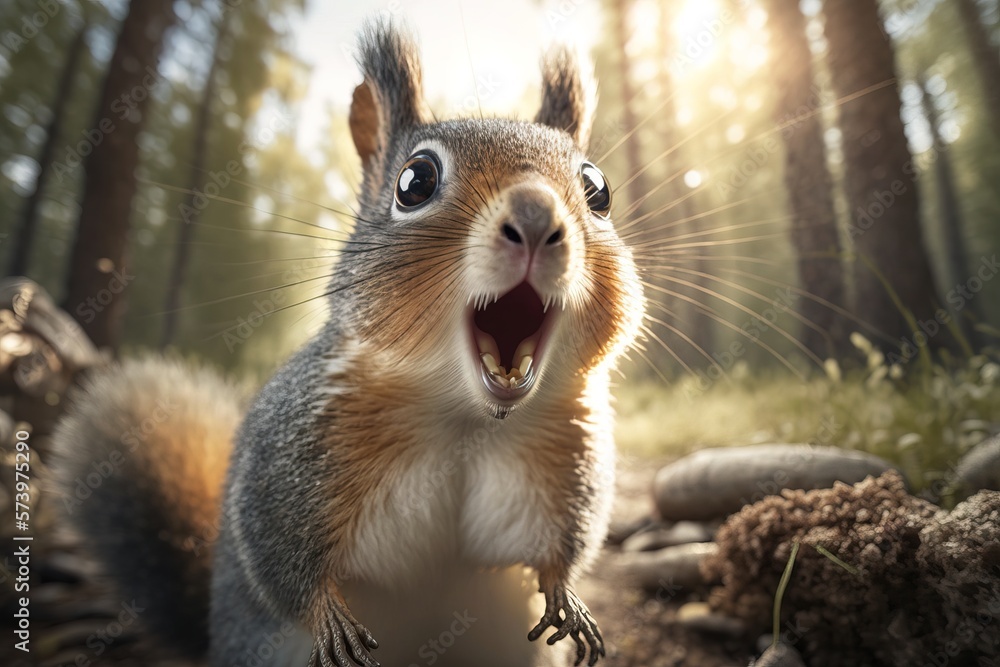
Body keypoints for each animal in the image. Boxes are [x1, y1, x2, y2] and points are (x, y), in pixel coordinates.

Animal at [52, 20, 644, 667]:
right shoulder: (289, 454)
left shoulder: (570, 457)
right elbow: (279, 558)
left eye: (598, 189)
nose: (537, 217)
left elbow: (568, 541)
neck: (467, 420)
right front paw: (328, 618)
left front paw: (568, 597)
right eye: (415, 181)